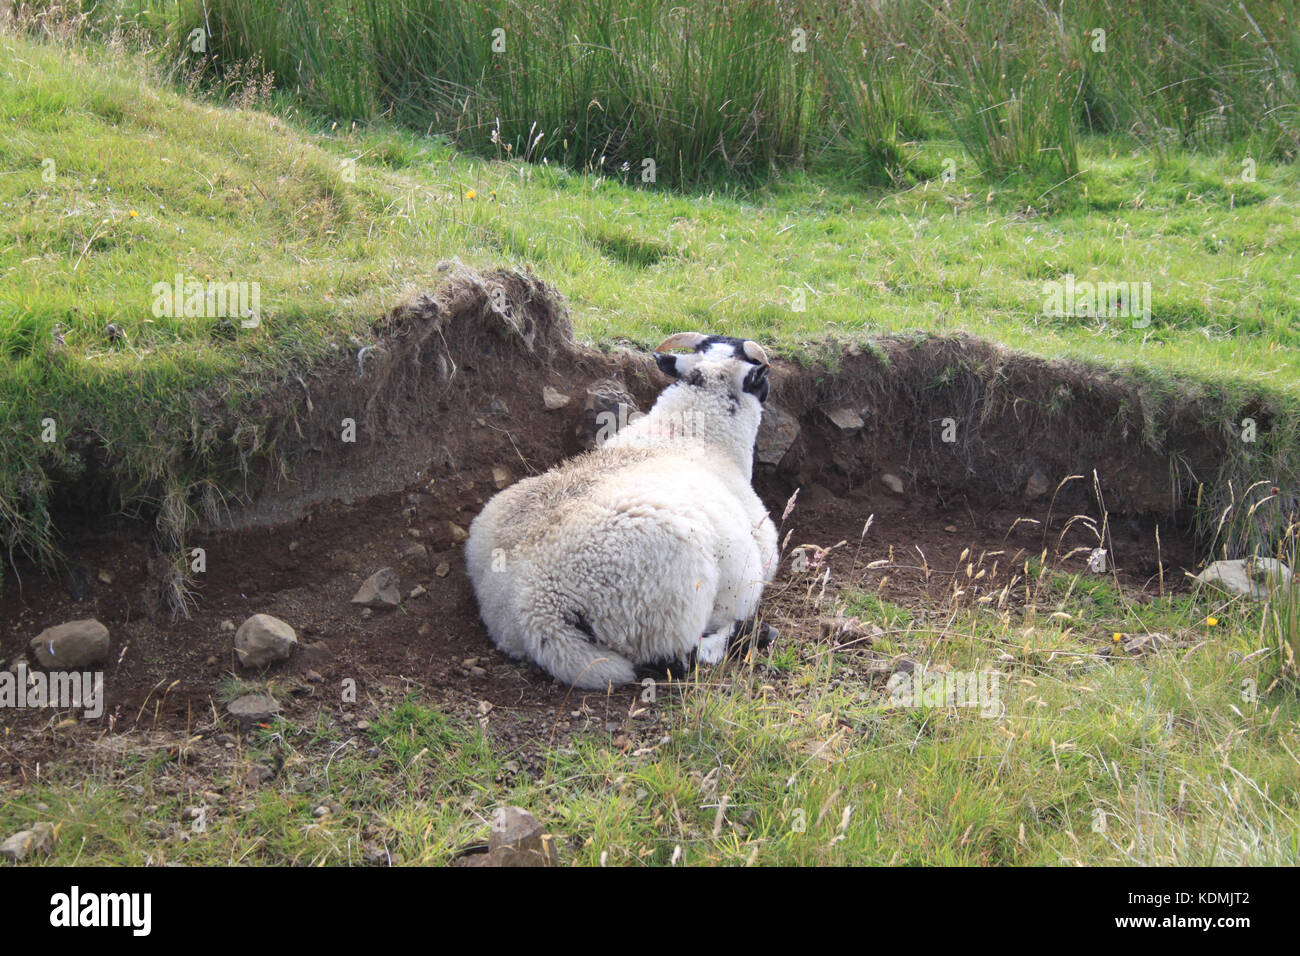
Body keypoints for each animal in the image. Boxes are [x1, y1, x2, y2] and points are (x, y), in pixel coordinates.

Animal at [465, 332, 780, 689]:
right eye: (762, 376)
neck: (694, 433)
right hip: (668, 610)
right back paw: (753, 633)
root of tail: (537, 608)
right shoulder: (760, 558)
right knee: (680, 659)